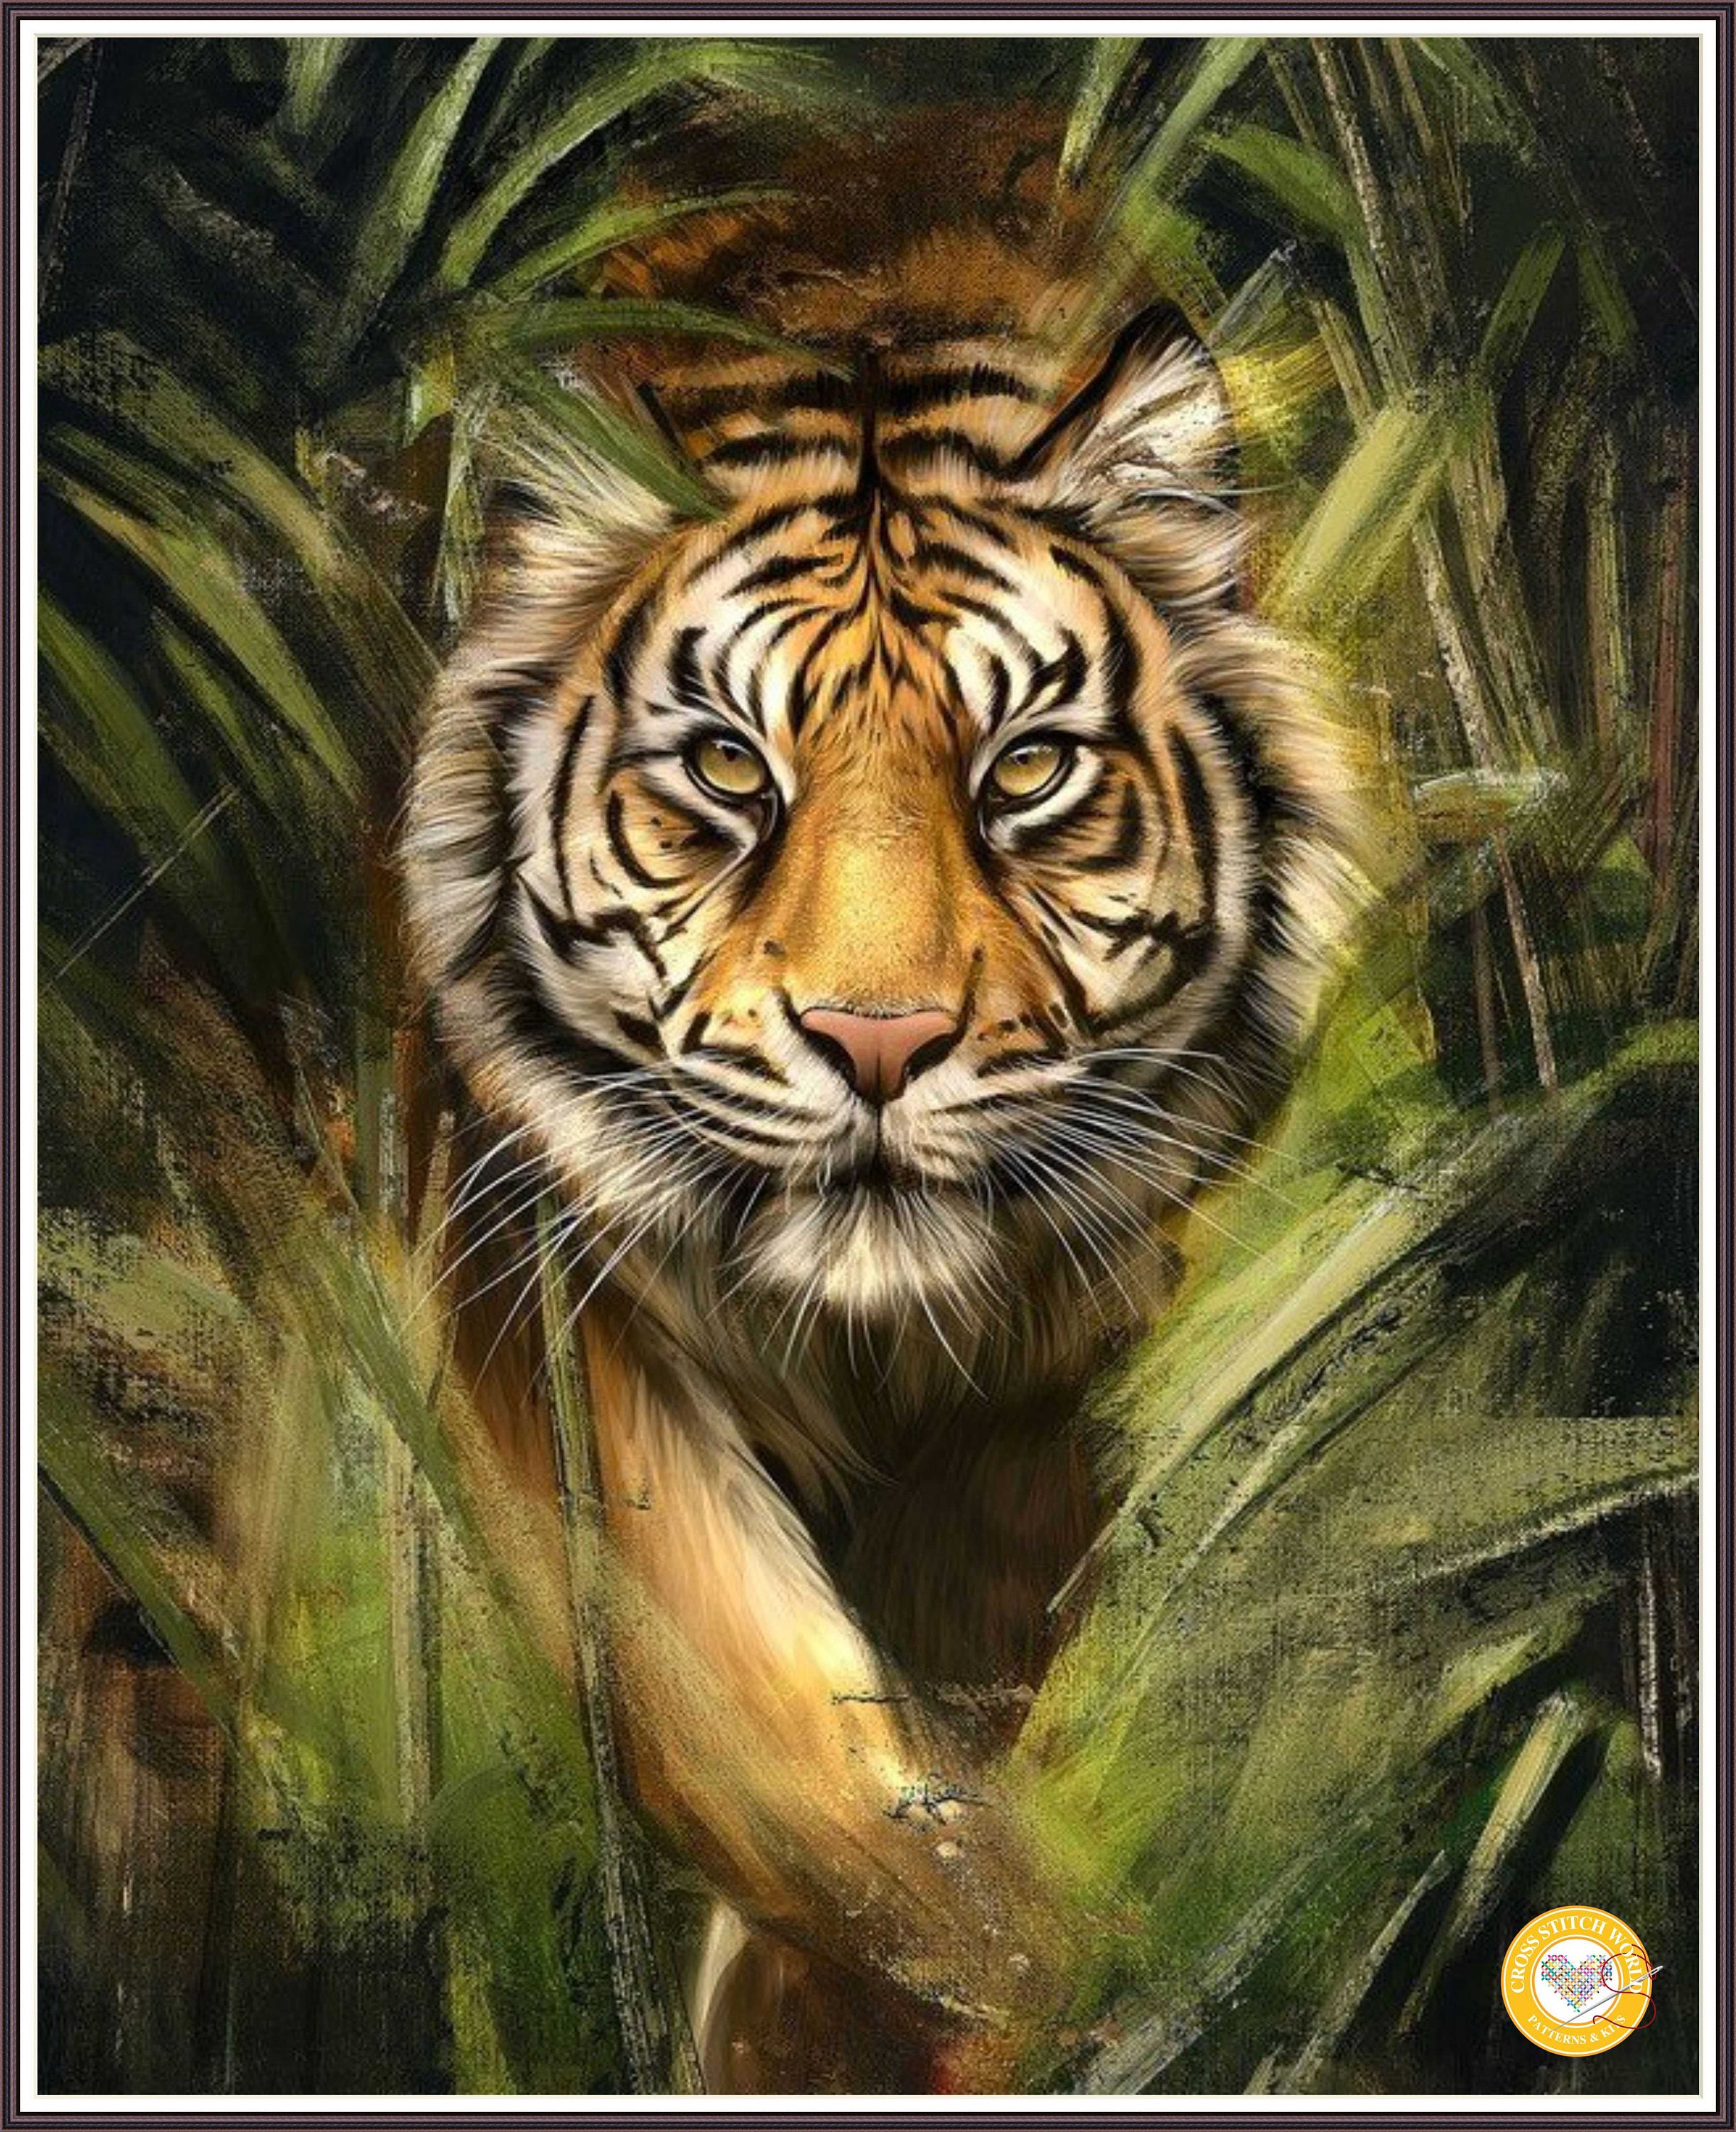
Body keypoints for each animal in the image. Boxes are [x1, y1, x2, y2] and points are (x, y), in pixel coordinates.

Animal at [403, 117, 1363, 2094]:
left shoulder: (1037, 1385)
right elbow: (762, 1716)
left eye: (1030, 769)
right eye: (723, 766)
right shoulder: (544, 1290)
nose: (878, 1038)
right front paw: (1032, 1973)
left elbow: (919, 1739)